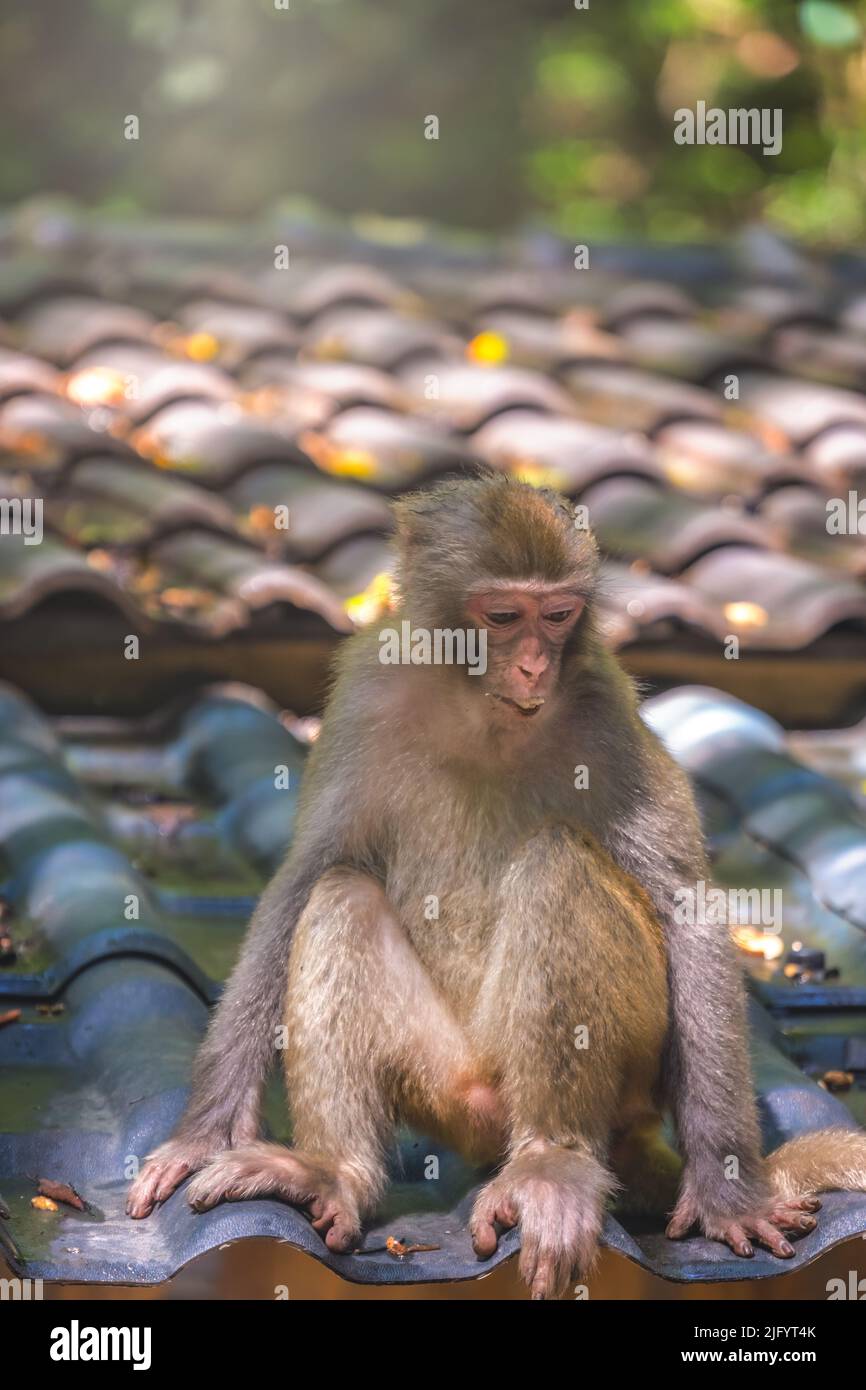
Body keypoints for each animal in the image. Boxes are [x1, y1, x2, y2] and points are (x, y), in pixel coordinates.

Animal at [127, 471, 866, 1299]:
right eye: (505, 616)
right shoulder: (368, 689)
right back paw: (332, 1173)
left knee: (556, 863)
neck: (480, 711)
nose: (536, 666)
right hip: (451, 1091)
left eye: (560, 615)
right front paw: (204, 1132)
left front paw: (725, 1190)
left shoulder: (606, 706)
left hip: (627, 1078)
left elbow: (684, 907)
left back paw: (550, 1167)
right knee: (343, 893)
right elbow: (306, 875)